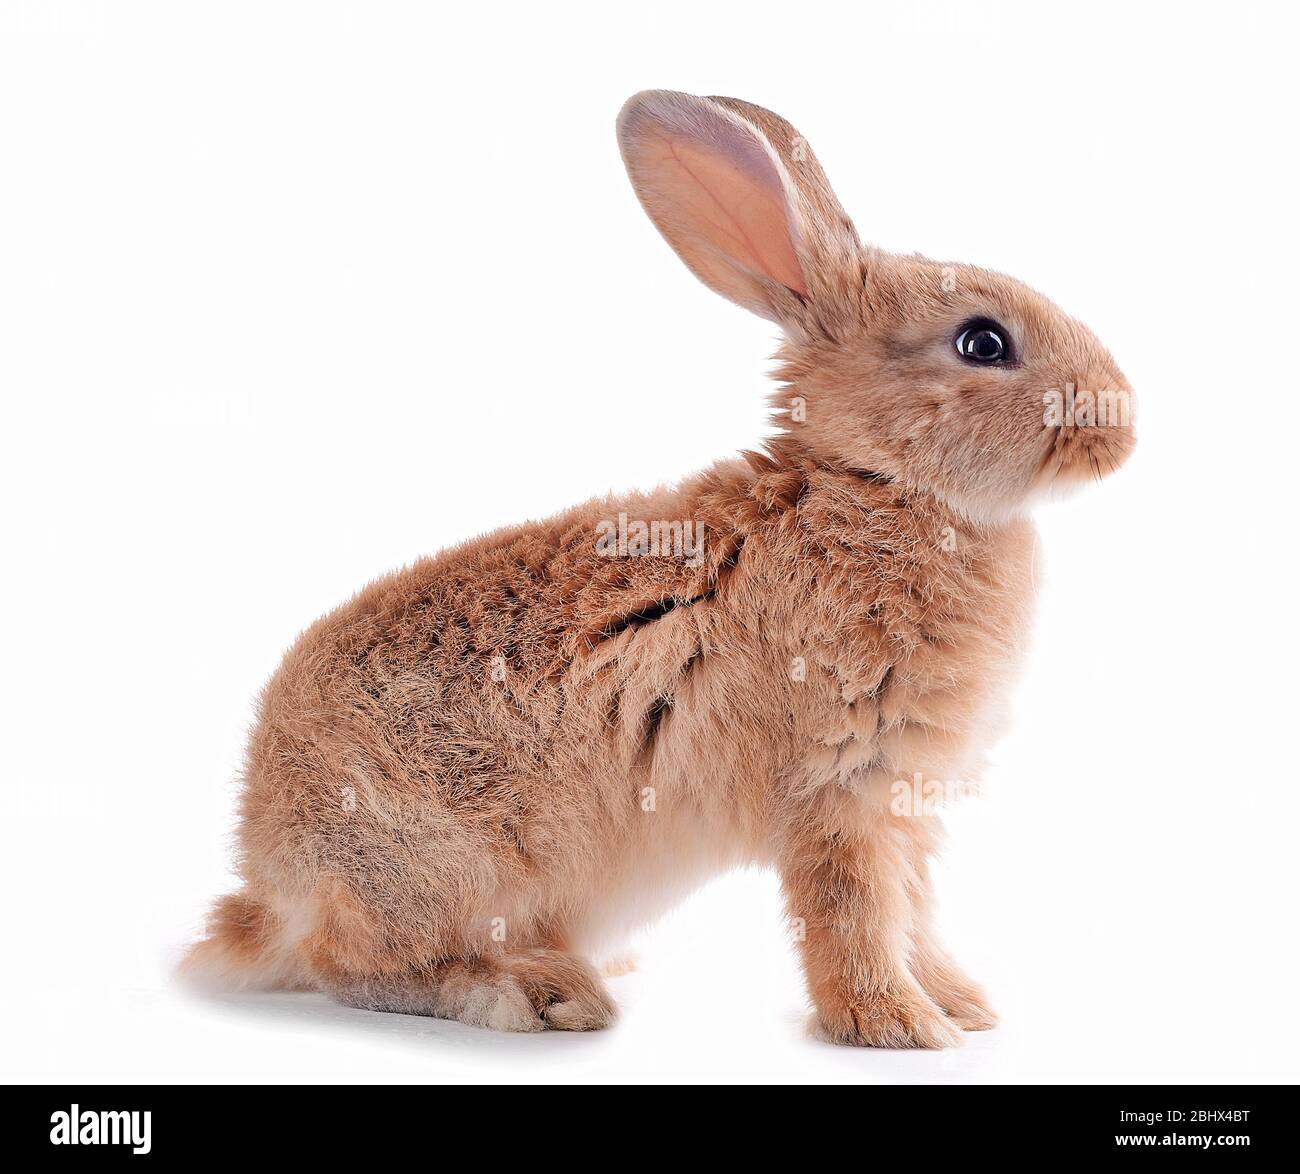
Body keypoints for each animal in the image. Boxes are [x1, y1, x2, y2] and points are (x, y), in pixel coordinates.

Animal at [183, 90, 1135, 1047]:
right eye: (983, 343)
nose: (1121, 425)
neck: (876, 485)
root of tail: (271, 886)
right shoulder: (839, 790)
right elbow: (855, 913)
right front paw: (896, 1026)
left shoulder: (905, 803)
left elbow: (916, 907)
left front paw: (961, 1005)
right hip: (430, 871)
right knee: (352, 964)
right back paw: (532, 992)